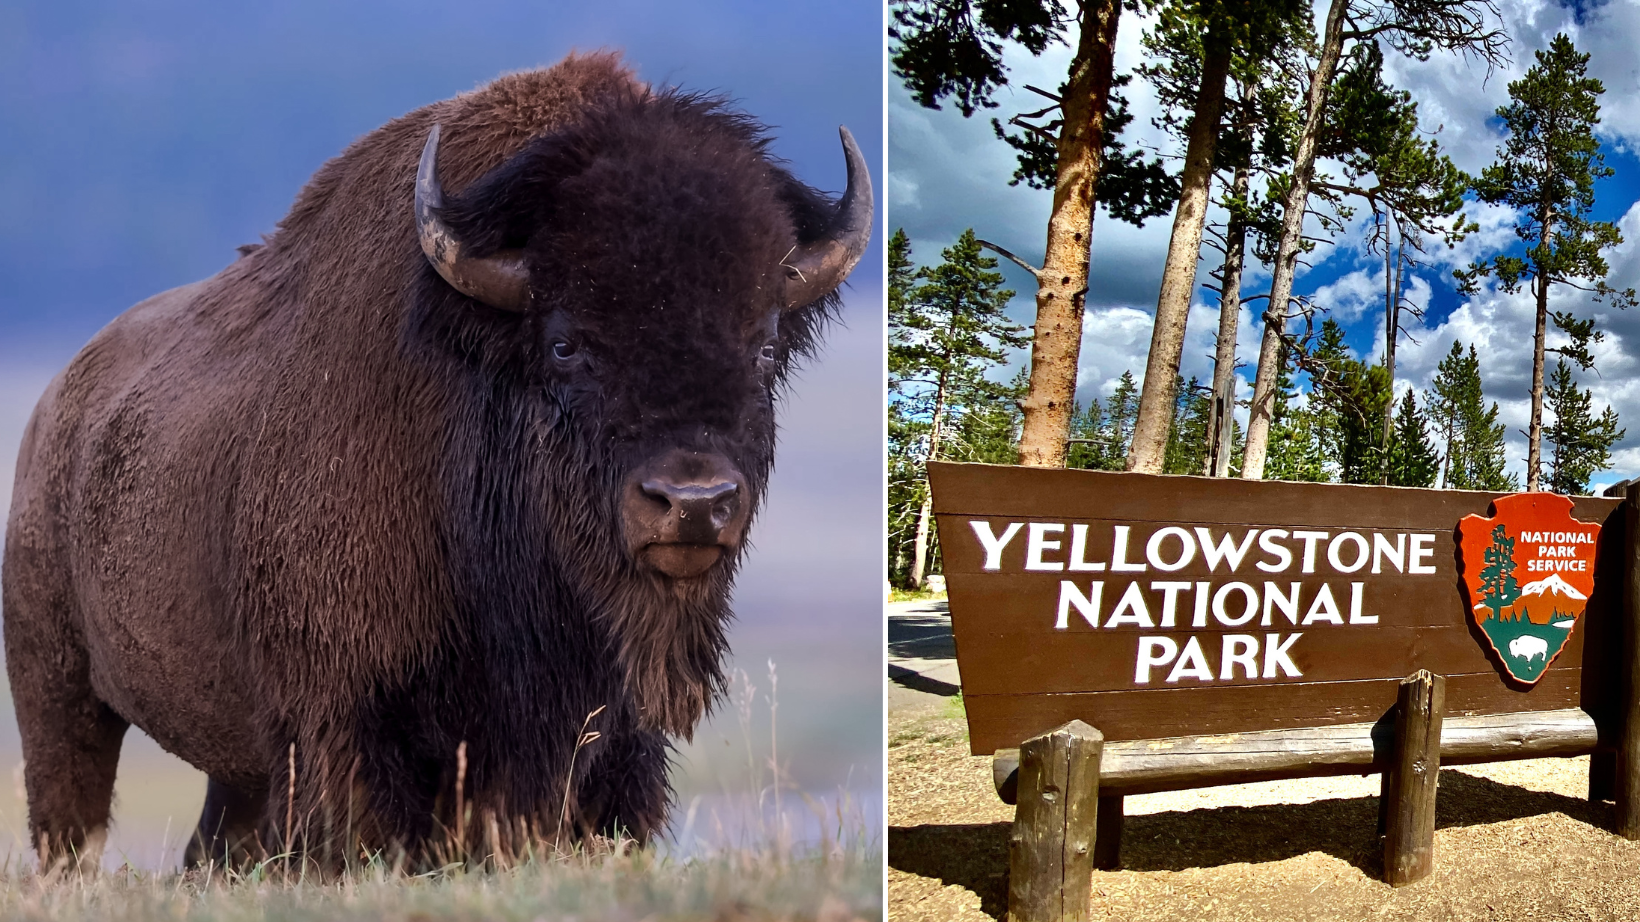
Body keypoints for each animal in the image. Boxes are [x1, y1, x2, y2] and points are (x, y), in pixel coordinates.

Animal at [2, 51, 871, 868]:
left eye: (765, 346)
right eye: (565, 344)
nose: (692, 502)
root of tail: (52, 412)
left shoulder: (609, 746)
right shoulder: (347, 729)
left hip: (231, 772)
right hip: (59, 697)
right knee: (70, 823)